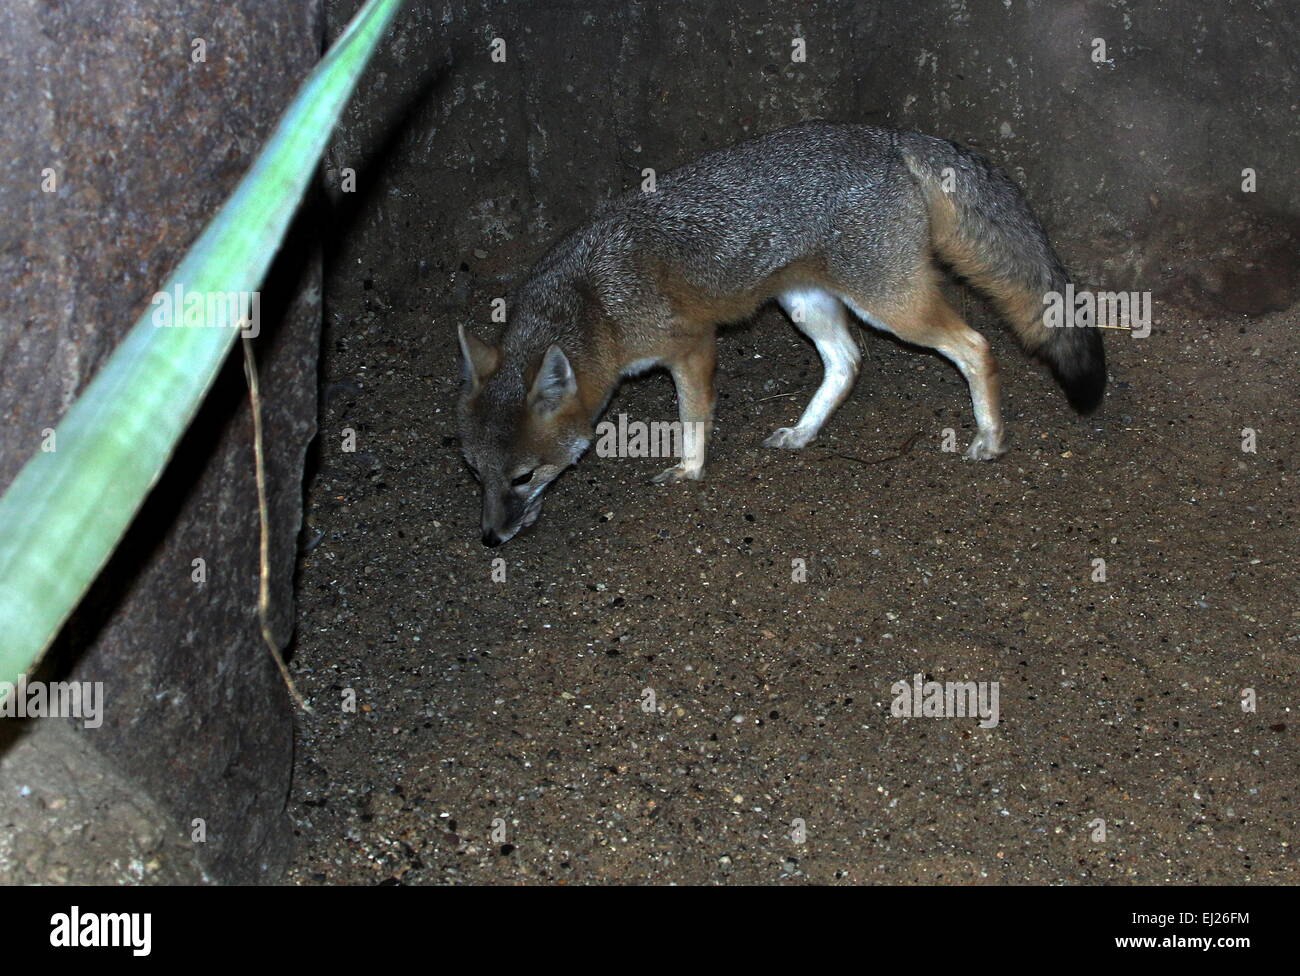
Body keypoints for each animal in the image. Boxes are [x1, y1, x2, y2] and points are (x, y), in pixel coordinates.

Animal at [457, 122, 1105, 546]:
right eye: (477, 475)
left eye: (523, 477)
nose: (489, 538)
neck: (593, 304)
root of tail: (889, 135)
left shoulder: (692, 345)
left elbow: (692, 417)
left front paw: (689, 471)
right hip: (807, 303)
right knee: (847, 362)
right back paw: (803, 432)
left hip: (890, 305)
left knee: (976, 346)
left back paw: (990, 439)